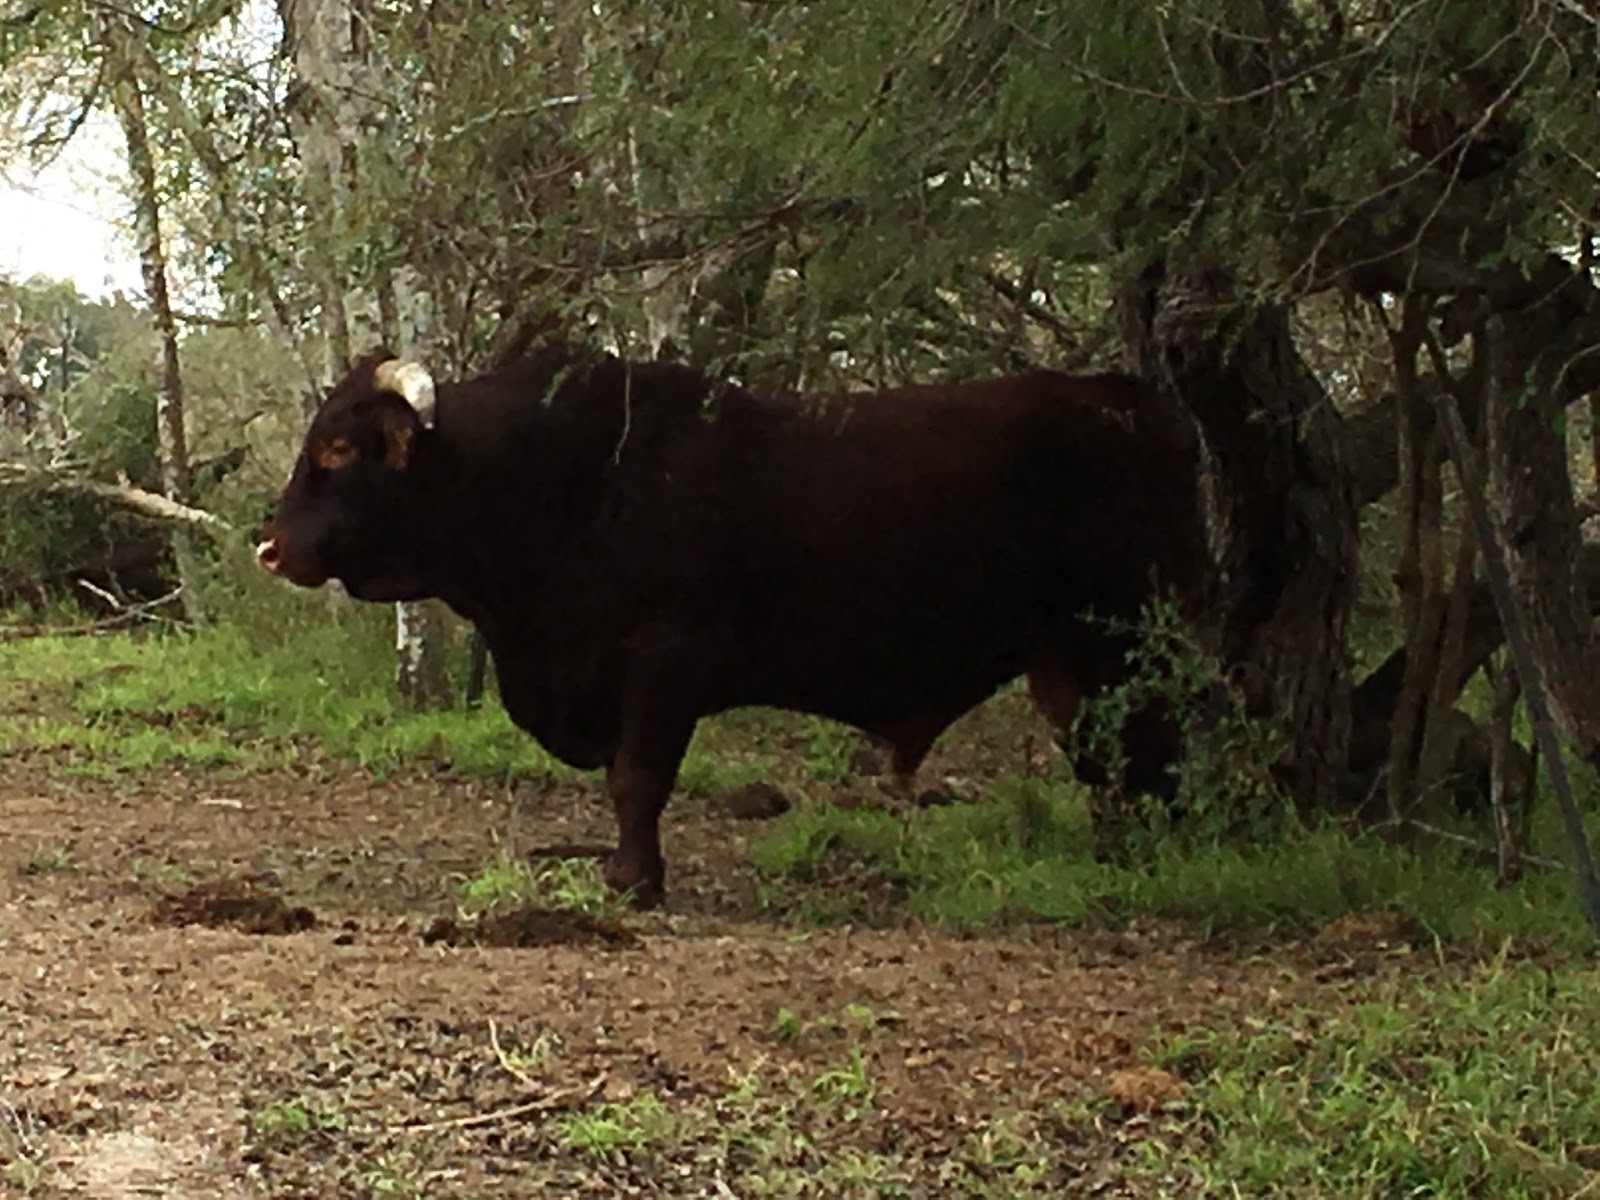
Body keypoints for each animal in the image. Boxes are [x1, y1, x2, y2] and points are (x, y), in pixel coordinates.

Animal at [256, 342, 1210, 906]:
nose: (269, 543)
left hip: (1125, 644)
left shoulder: (662, 664)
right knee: (1110, 763)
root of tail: (1133, 402)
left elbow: (637, 780)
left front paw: (633, 879)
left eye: (337, 450)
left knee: (1150, 755)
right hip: (1067, 662)